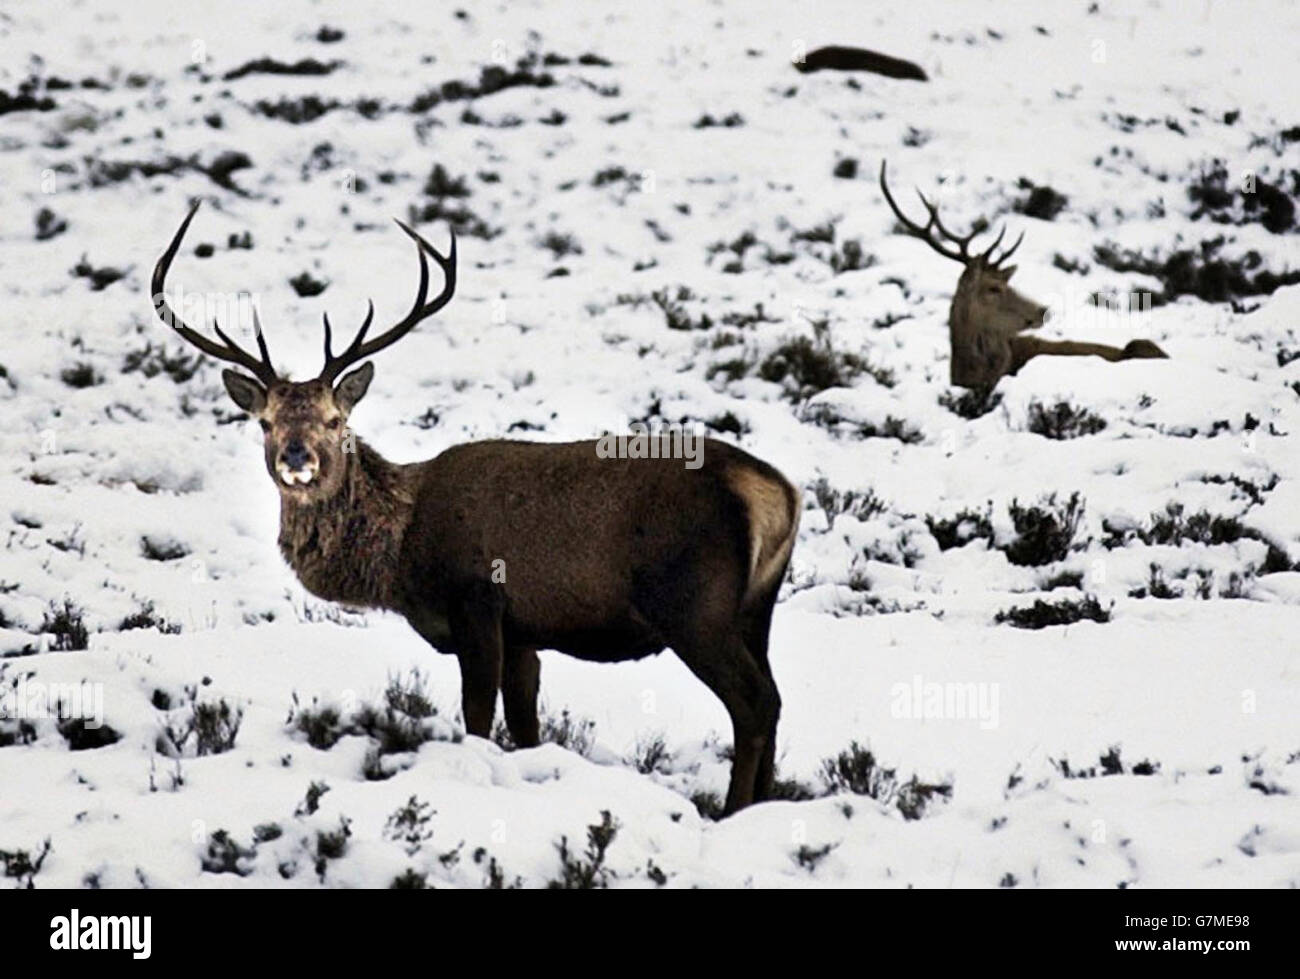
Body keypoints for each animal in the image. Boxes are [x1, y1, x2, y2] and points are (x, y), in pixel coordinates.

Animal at [151, 202, 801, 814]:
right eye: (264, 422)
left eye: (336, 420)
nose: (296, 458)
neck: (402, 554)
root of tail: (778, 493)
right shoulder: (525, 631)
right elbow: (527, 727)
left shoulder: (477, 602)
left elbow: (479, 721)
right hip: (757, 607)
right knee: (774, 698)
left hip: (693, 606)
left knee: (753, 702)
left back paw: (733, 811)